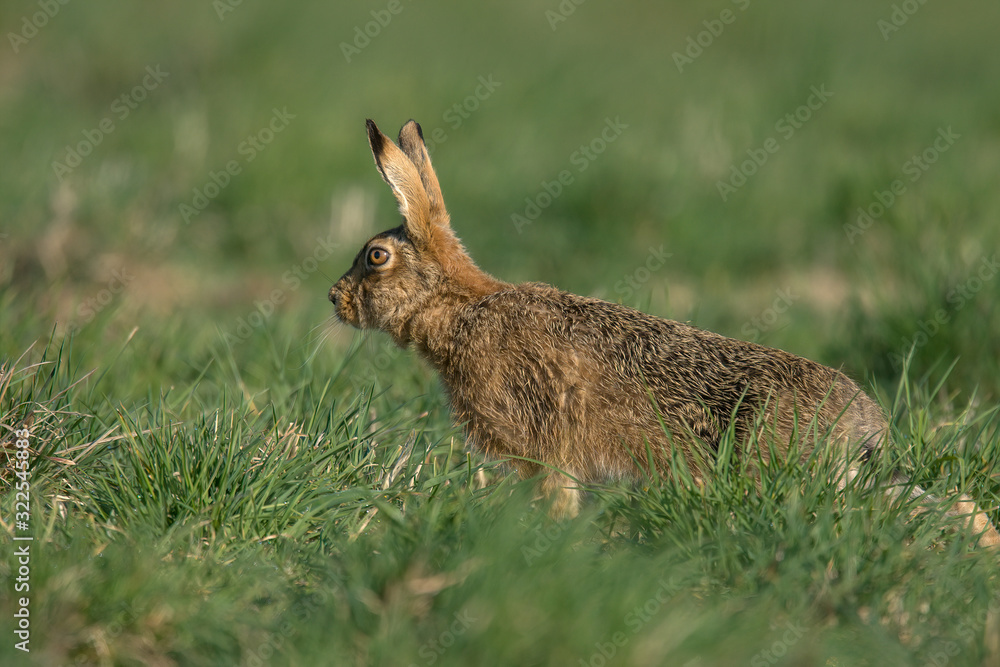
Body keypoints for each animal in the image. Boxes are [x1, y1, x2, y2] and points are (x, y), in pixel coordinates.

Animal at [329, 118, 999, 547]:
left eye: (376, 257)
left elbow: (557, 499)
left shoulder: (547, 448)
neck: (461, 308)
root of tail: (866, 427)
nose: (335, 299)